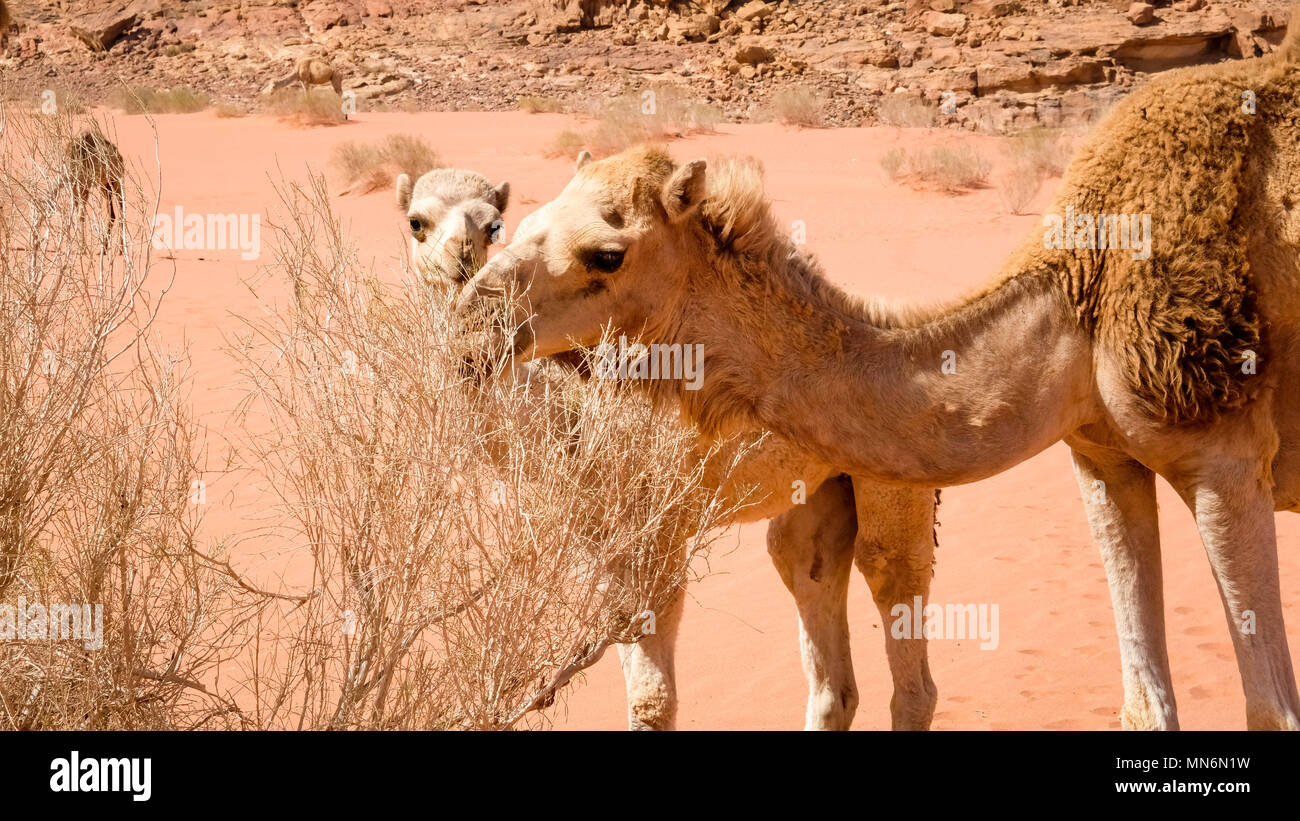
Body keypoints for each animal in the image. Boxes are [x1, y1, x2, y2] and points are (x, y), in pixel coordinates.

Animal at [400, 167, 942, 730]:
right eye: (416, 222)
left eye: (493, 225)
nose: (463, 260)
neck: (560, 416)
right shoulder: (599, 537)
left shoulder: (652, 529)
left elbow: (651, 700)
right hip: (824, 485)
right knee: (809, 583)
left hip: (896, 473)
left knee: (894, 588)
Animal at [456, 24, 1300, 730]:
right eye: (523, 224)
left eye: (607, 253)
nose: (470, 322)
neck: (1081, 288)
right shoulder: (1101, 452)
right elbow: (1146, 703)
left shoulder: (1223, 454)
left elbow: (1271, 708)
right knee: (824, 621)